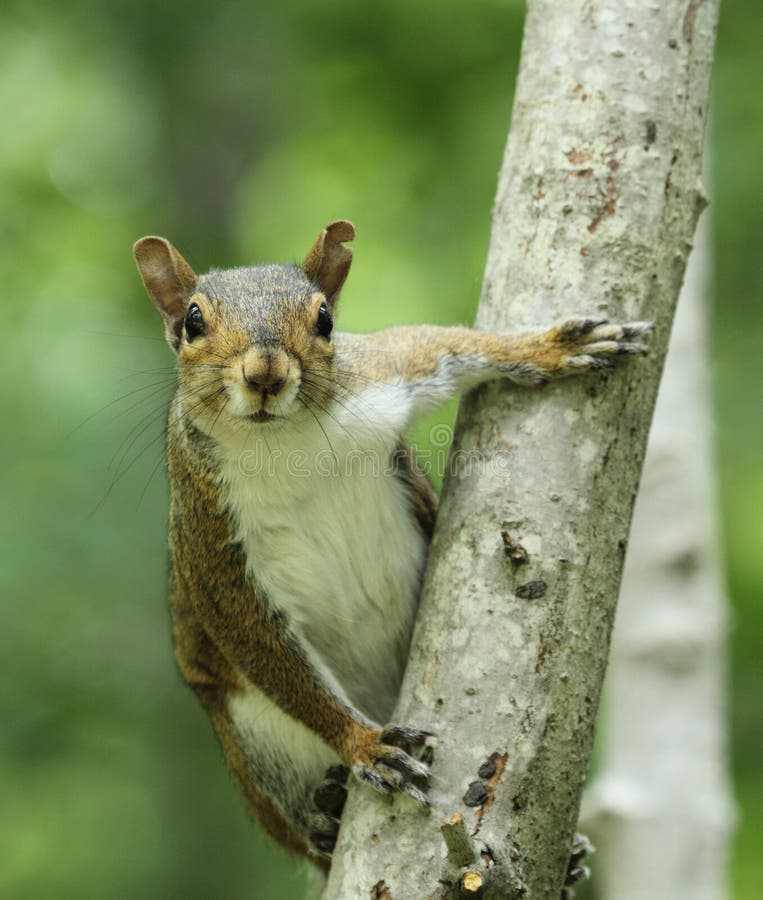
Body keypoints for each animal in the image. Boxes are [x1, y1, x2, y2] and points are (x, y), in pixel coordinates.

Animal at [133, 220, 650, 870]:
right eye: (193, 321)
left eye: (325, 319)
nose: (265, 374)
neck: (281, 443)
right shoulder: (211, 540)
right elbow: (260, 644)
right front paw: (366, 743)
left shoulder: (379, 380)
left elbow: (438, 346)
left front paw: (547, 348)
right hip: (253, 741)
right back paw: (324, 819)